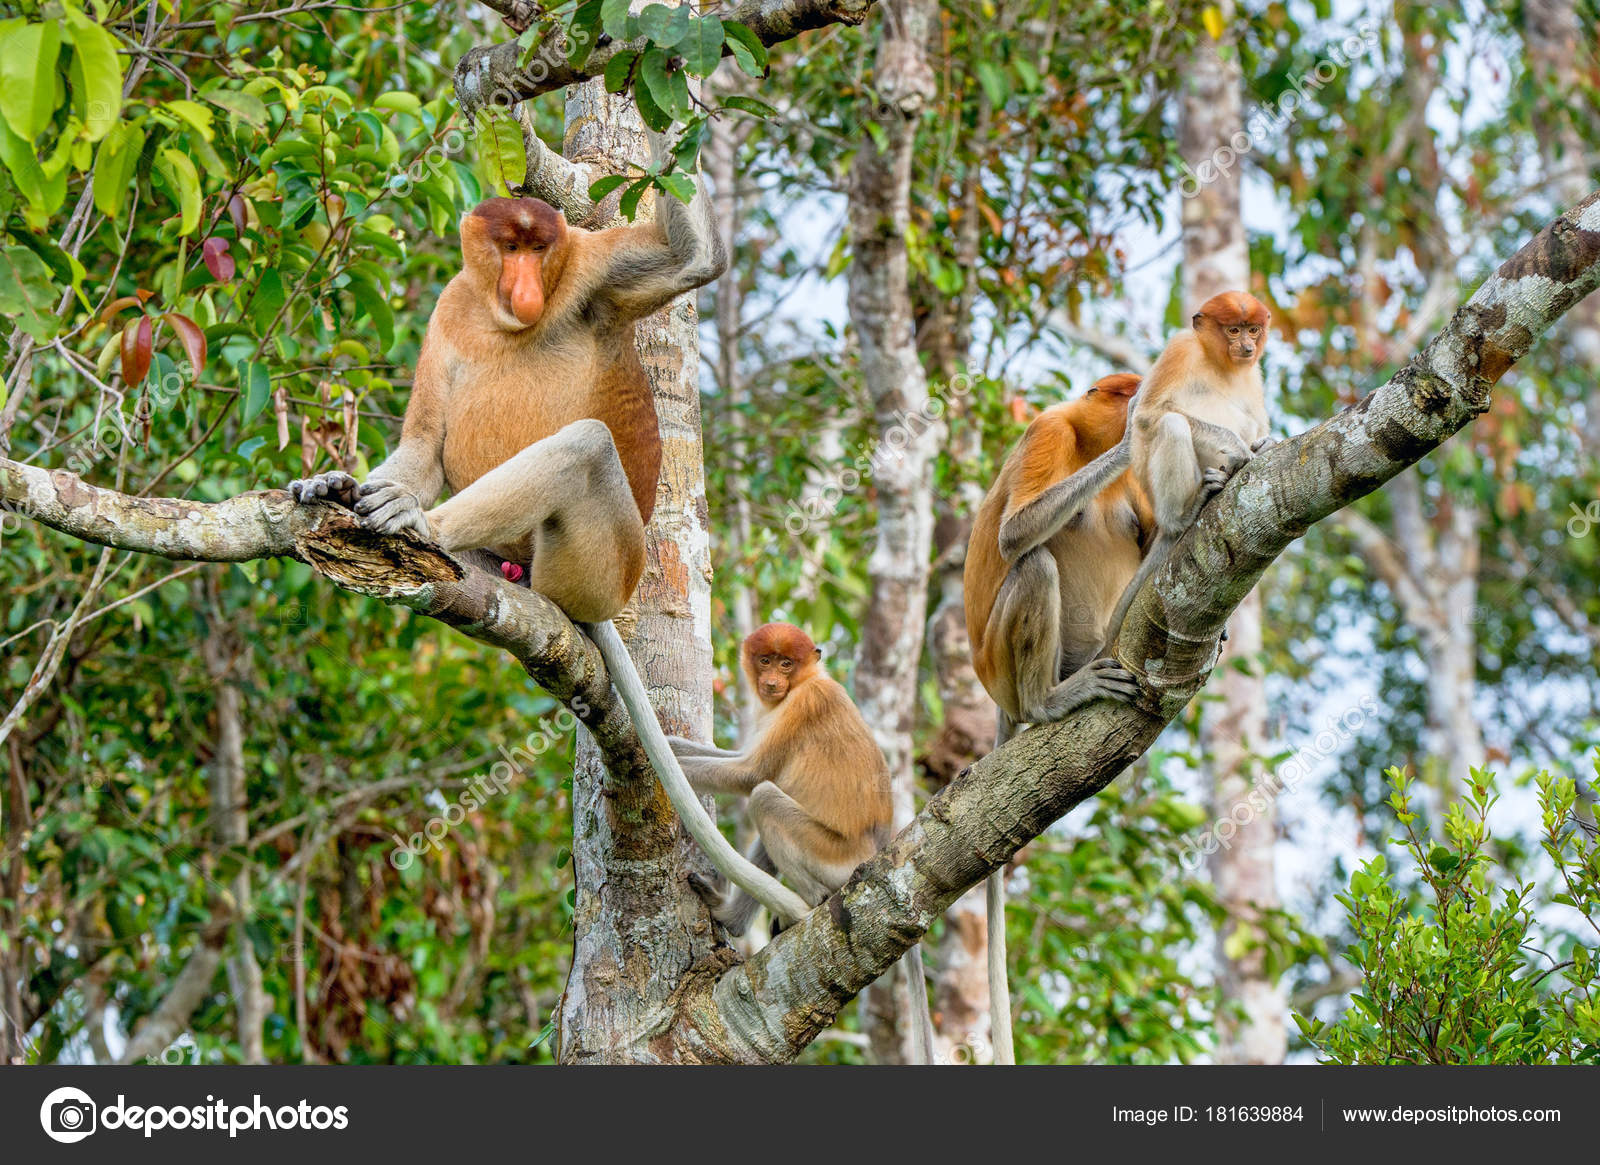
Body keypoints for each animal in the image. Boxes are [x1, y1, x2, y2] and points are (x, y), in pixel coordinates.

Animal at [287, 128, 811, 930]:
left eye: (541, 248)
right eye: (509, 246)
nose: (527, 283)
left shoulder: (592, 270)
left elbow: (692, 261)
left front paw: (670, 131)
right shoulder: (449, 309)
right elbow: (424, 443)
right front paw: (335, 482)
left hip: (598, 562)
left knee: (586, 444)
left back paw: (420, 526)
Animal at [667, 622, 935, 1065]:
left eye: (786, 663)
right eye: (765, 660)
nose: (772, 682)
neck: (805, 682)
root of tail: (878, 849)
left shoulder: (804, 705)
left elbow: (749, 773)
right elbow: (740, 760)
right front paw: (667, 741)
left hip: (832, 856)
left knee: (764, 797)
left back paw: (811, 905)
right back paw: (730, 917)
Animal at [963, 371, 1154, 1064]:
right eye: (1125, 390)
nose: (1141, 398)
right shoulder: (1047, 431)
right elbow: (1017, 533)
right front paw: (1130, 438)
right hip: (1002, 661)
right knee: (1035, 562)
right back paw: (1052, 701)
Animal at [1100, 291, 1274, 648]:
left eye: (1253, 330)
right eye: (1233, 330)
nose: (1247, 348)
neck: (1218, 361)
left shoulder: (1254, 373)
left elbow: (1258, 423)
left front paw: (1264, 445)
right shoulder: (1181, 348)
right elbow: (1150, 414)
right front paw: (1240, 449)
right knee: (1172, 424)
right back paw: (1184, 516)